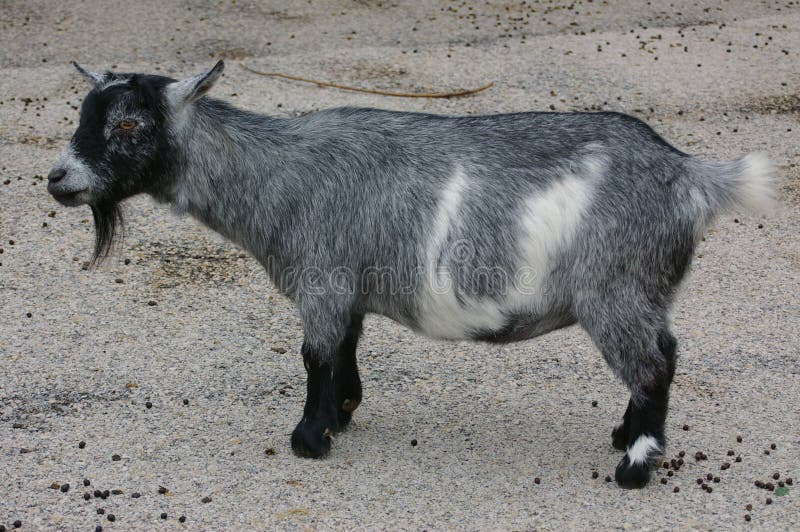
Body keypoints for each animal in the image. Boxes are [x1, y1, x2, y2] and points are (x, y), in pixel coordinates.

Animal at [47, 61, 776, 488]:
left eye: (129, 124)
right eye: (83, 116)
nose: (58, 179)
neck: (275, 178)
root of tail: (690, 176)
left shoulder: (321, 281)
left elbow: (313, 356)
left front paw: (308, 440)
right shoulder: (348, 291)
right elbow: (344, 351)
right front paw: (341, 415)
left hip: (615, 292)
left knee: (652, 367)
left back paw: (635, 465)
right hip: (646, 293)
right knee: (667, 353)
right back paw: (625, 434)